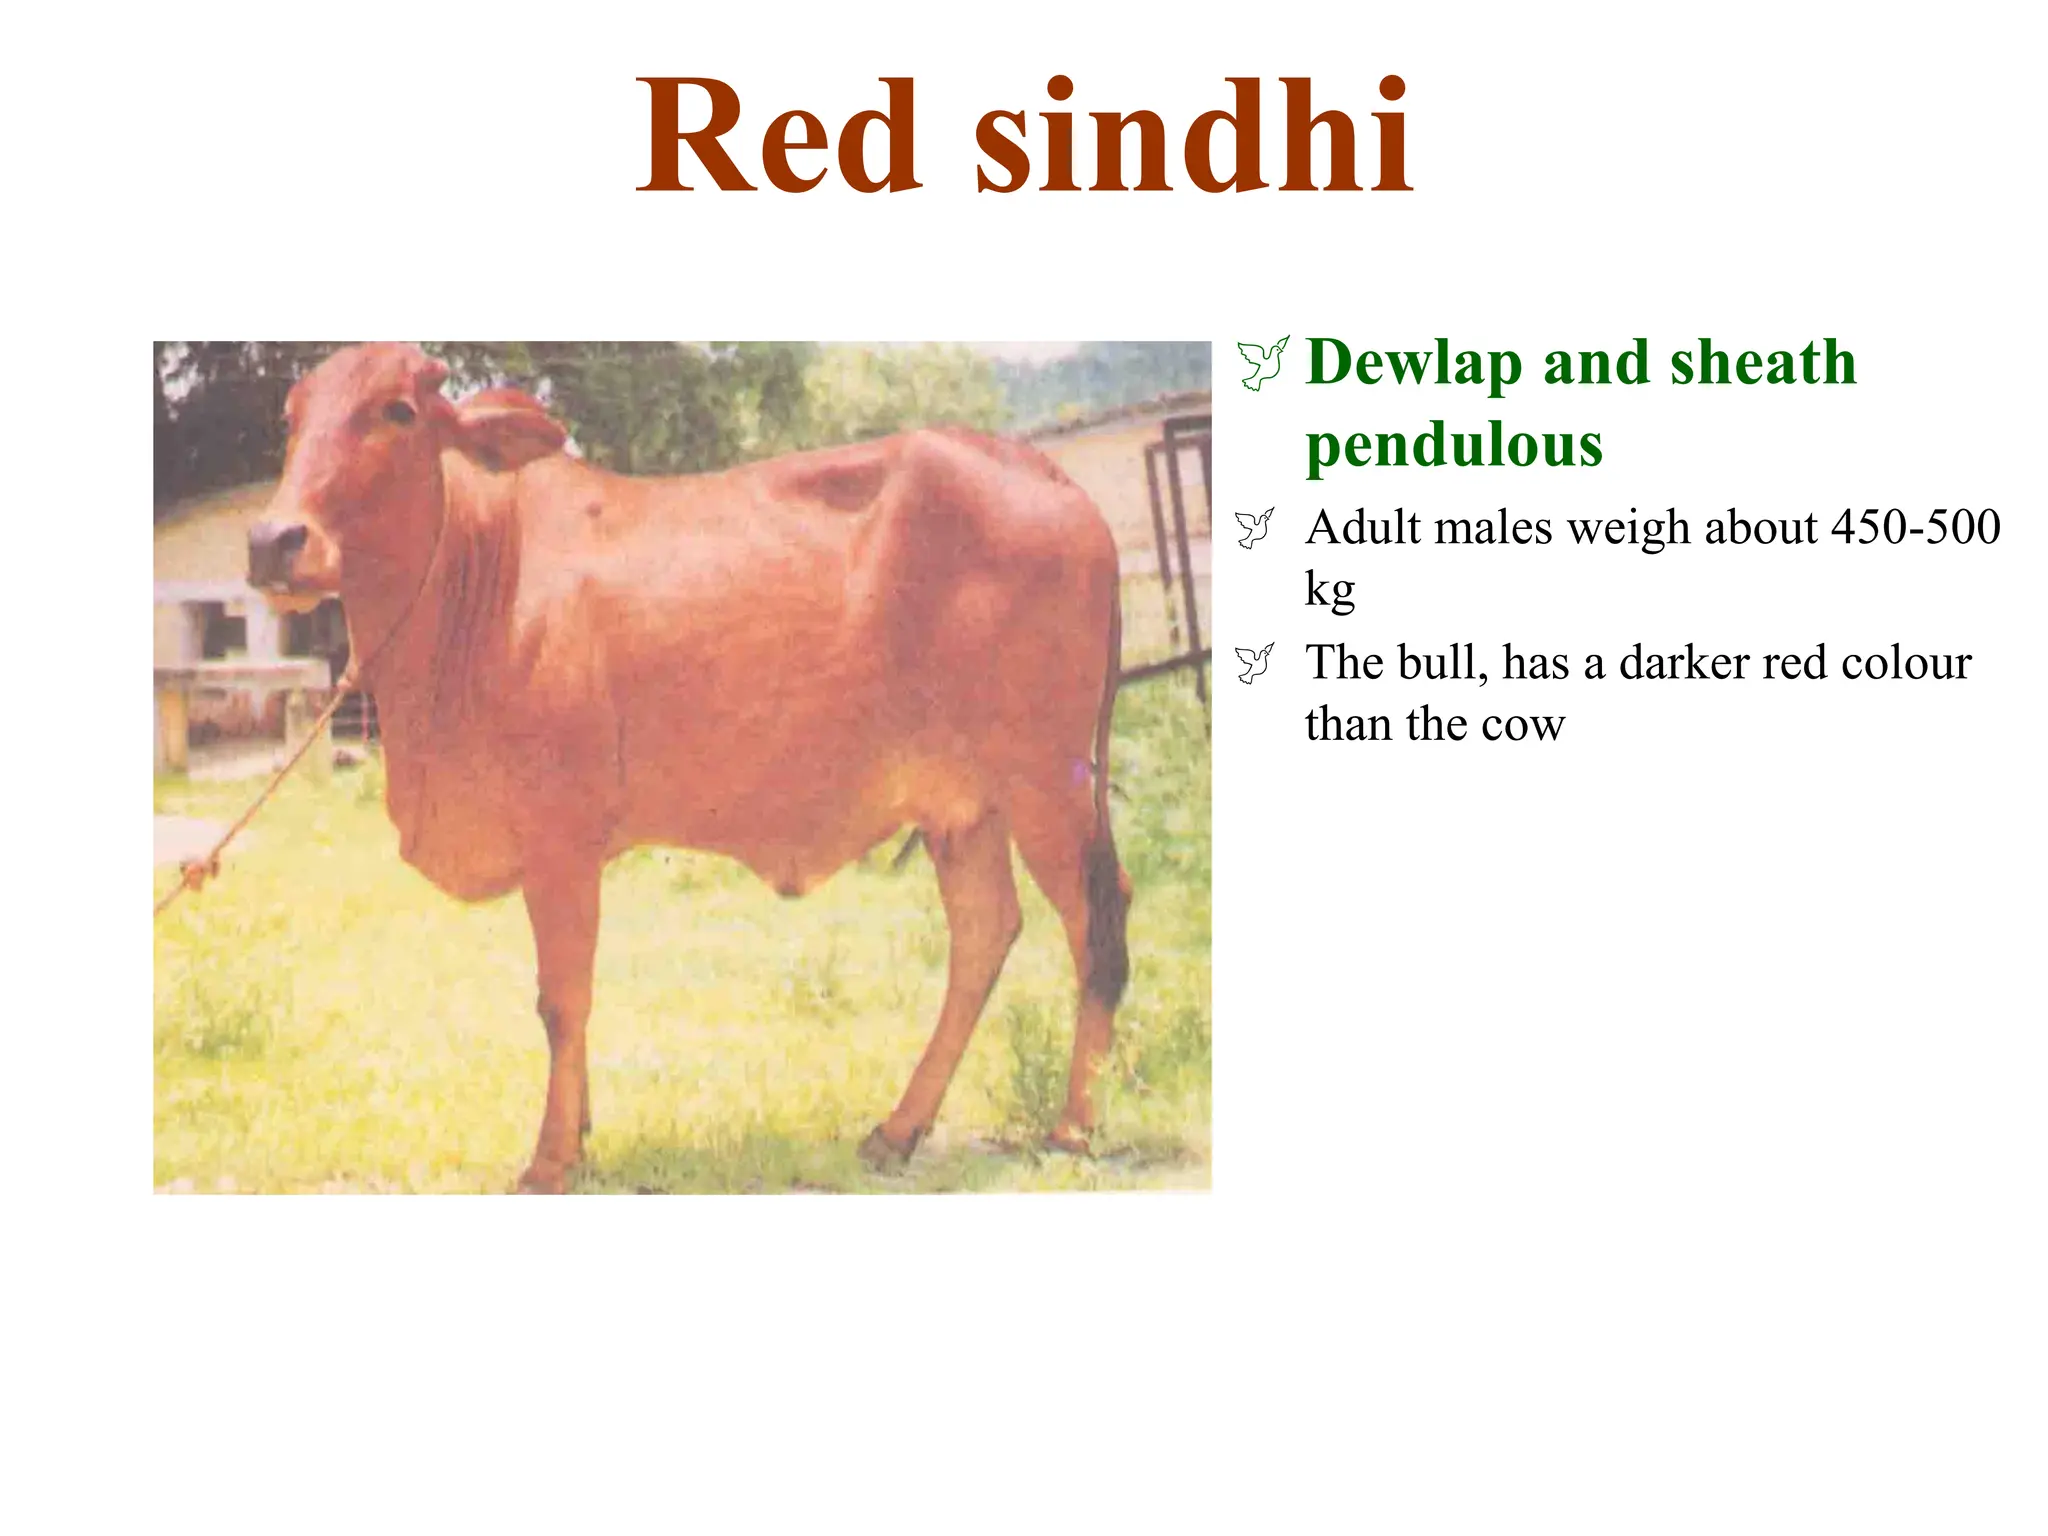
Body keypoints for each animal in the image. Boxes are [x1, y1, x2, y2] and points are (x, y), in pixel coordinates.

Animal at [245, 343, 1131, 1192]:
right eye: (289, 417)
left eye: (397, 410)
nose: (272, 541)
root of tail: (1039, 469)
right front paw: (581, 1136)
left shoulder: (561, 842)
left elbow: (561, 1000)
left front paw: (551, 1159)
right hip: (960, 806)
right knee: (985, 932)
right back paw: (897, 1130)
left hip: (1046, 781)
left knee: (1096, 920)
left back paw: (1071, 1127)